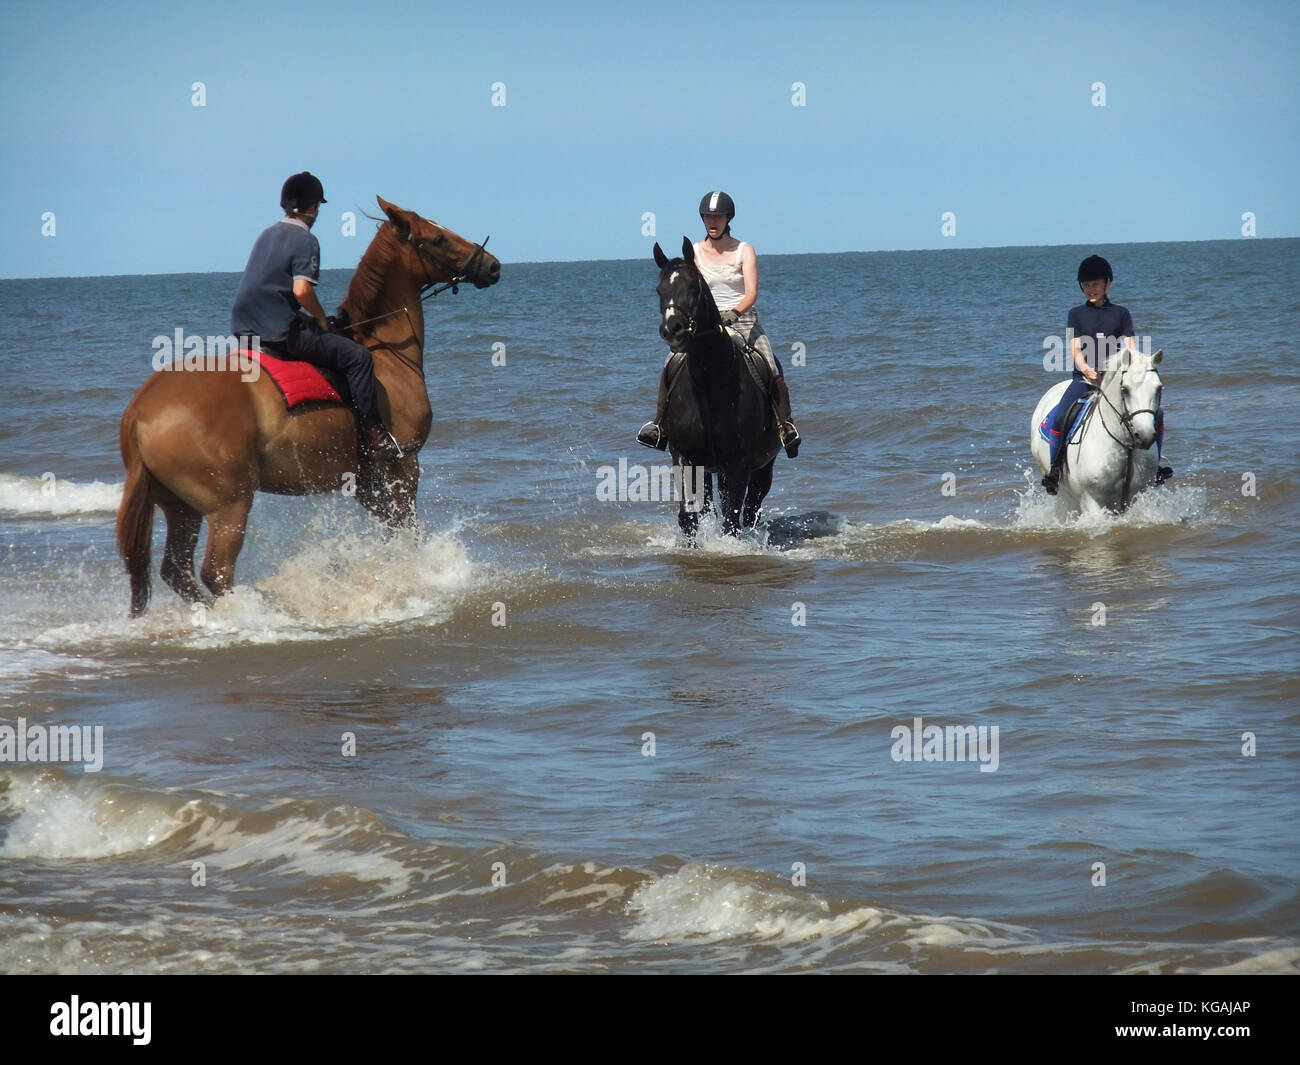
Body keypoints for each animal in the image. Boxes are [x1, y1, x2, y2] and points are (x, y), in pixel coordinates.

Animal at [116, 196, 500, 616]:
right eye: (439, 239)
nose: (492, 265)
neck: (383, 354)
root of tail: (140, 412)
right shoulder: (404, 462)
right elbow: (407, 531)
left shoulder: (364, 480)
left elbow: (391, 530)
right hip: (228, 506)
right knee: (215, 571)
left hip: (182, 508)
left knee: (177, 571)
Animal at [1030, 347, 1165, 516]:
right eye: (1125, 390)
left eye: (1158, 388)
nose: (1144, 436)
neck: (1126, 447)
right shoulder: (1091, 499)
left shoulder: (1134, 497)